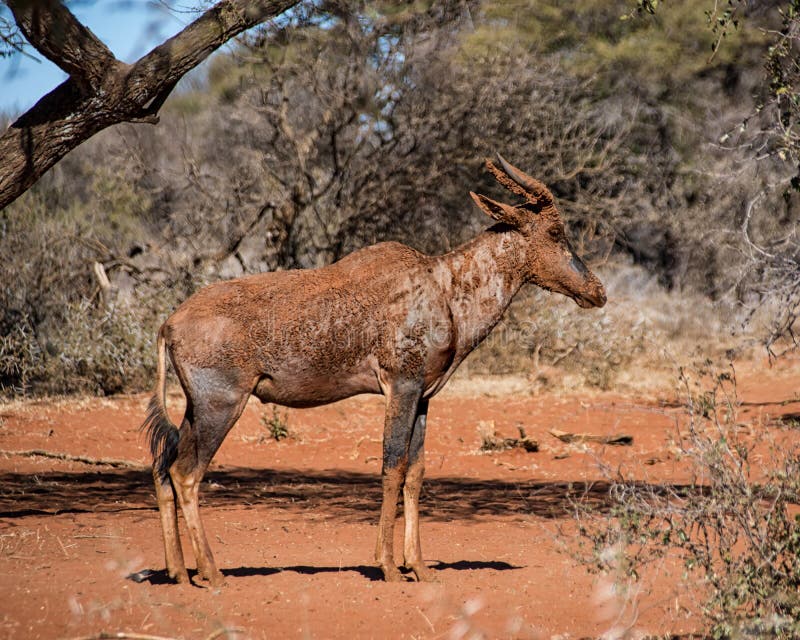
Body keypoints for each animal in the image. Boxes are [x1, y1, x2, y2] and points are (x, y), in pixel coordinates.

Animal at [142, 155, 607, 586]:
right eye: (555, 232)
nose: (597, 292)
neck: (442, 286)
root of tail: (169, 324)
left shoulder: (422, 397)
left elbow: (416, 473)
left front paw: (419, 567)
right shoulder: (400, 386)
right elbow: (392, 467)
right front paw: (389, 568)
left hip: (196, 409)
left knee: (163, 468)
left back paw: (178, 572)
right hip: (222, 405)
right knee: (186, 474)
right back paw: (212, 574)